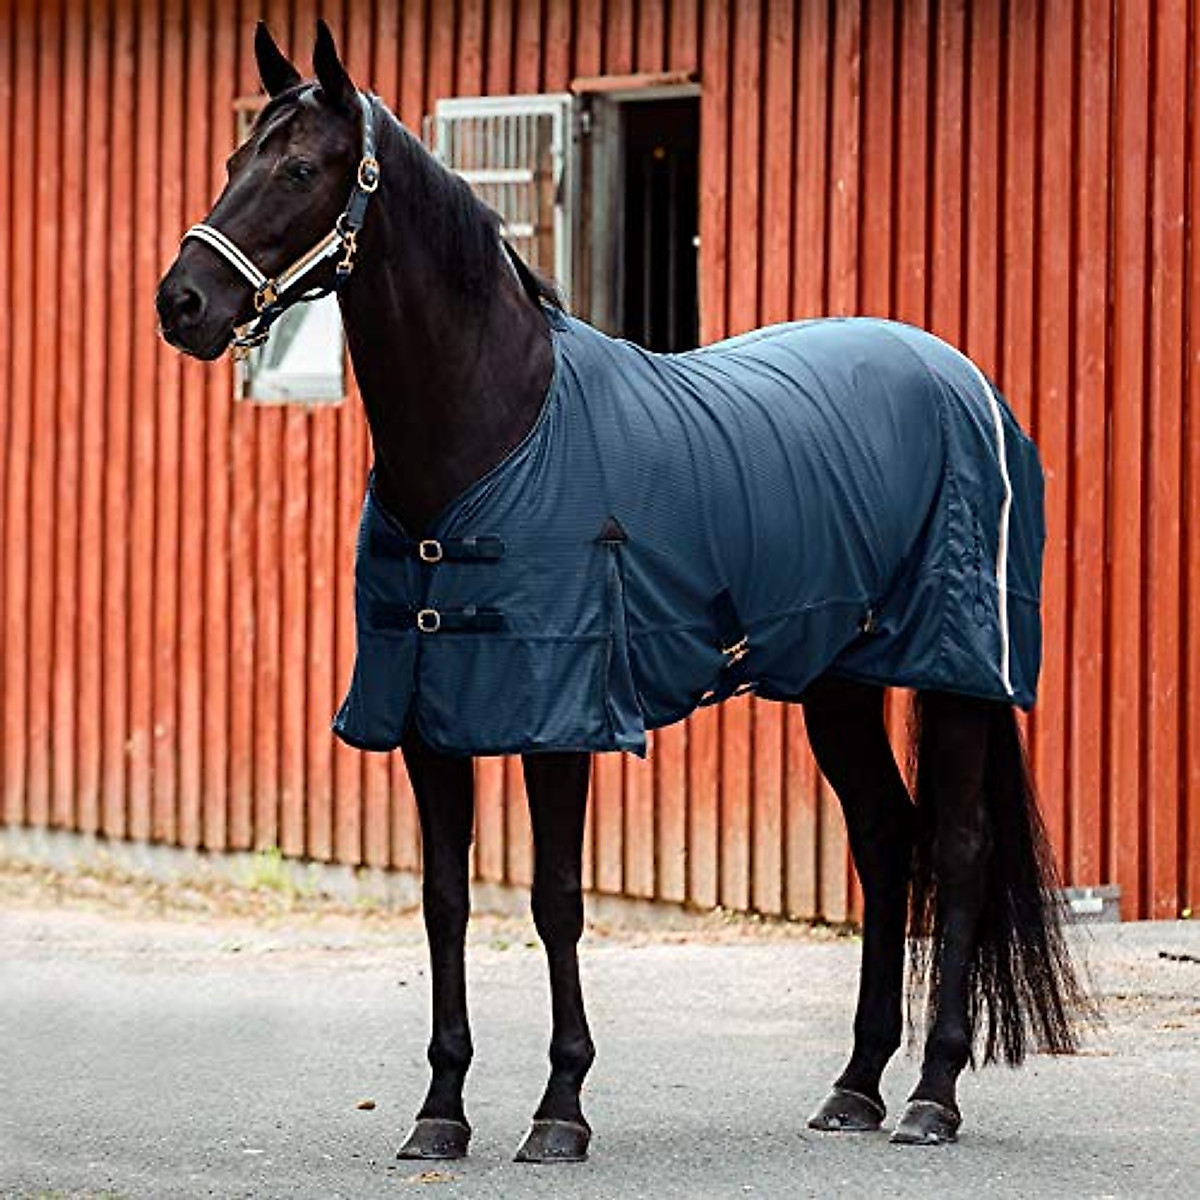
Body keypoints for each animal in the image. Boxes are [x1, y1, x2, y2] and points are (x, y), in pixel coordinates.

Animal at [156, 21, 1086, 1164]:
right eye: (234, 159)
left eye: (296, 169)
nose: (181, 304)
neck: (492, 434)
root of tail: (963, 379)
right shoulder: (427, 718)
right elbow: (444, 902)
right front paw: (440, 1112)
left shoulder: (560, 719)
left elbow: (556, 900)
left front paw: (560, 1109)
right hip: (840, 683)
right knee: (883, 841)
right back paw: (855, 1086)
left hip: (956, 675)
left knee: (953, 852)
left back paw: (931, 1097)